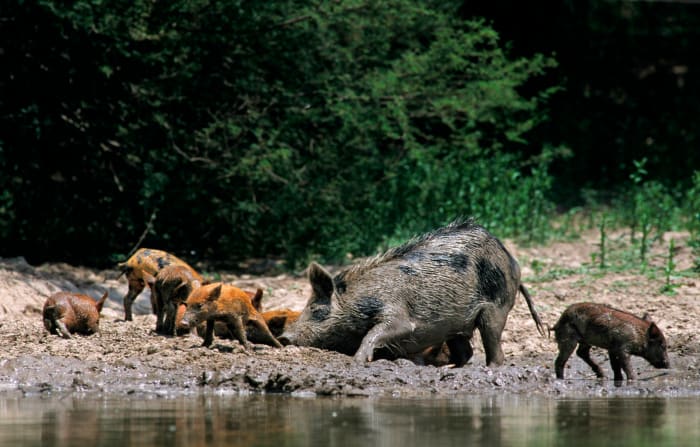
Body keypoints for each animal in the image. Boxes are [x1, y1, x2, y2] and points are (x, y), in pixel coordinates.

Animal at [279, 218, 545, 366]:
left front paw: (358, 360)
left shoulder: (398, 313)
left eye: (316, 311)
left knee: (494, 346)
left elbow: (381, 330)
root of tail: (513, 261)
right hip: (456, 322)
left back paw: (489, 368)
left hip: (497, 306)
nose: (283, 337)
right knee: (465, 350)